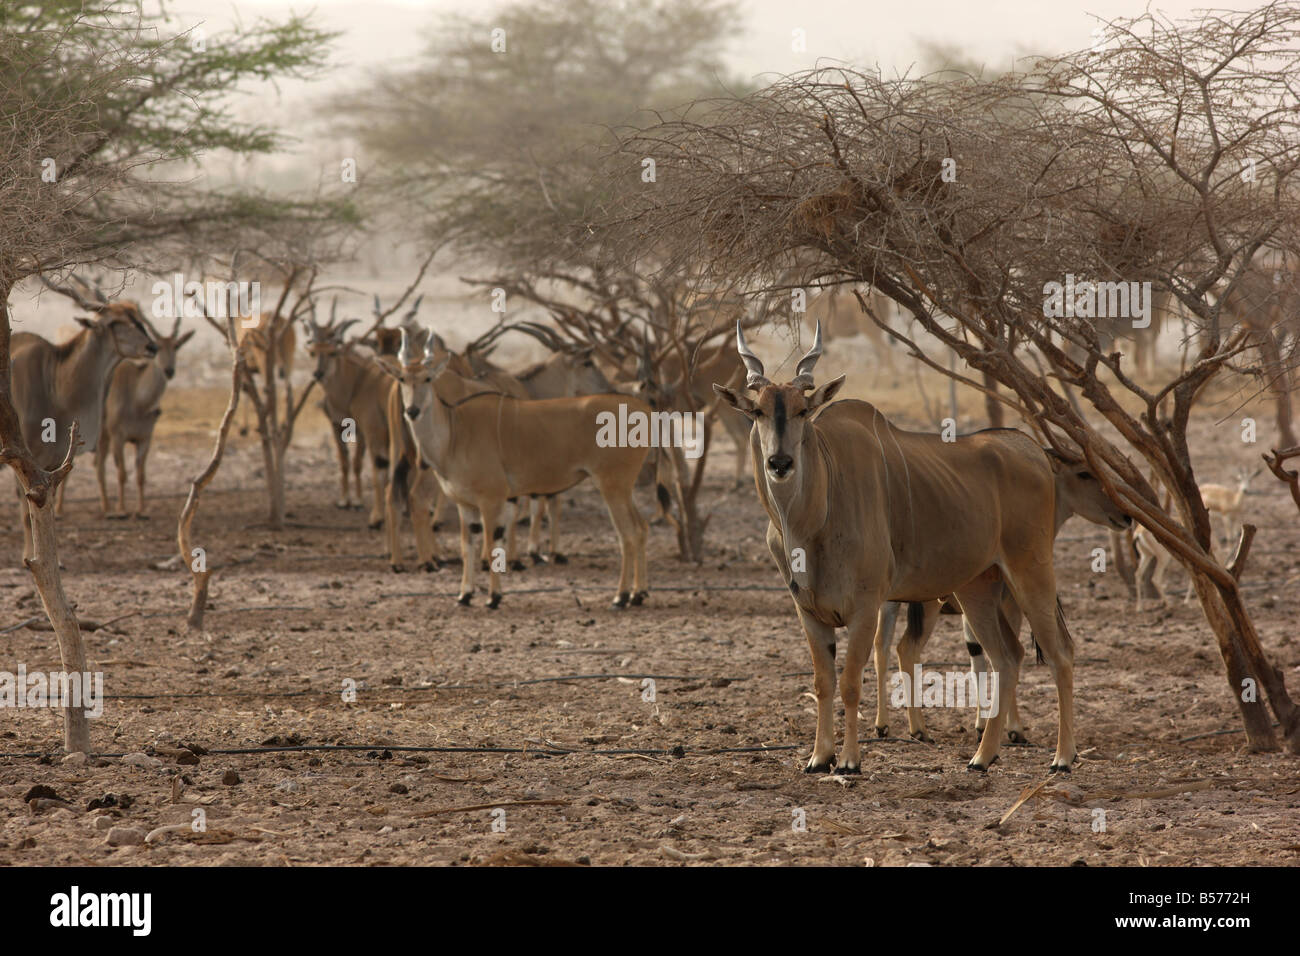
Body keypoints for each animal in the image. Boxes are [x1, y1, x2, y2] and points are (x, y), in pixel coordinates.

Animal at [12, 276, 157, 557]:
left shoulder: (49, 468)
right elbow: (26, 515)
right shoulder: (24, 463)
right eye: (115, 322)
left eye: (137, 317)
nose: (152, 346)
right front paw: (28, 557)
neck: (55, 381)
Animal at [382, 331, 650, 608]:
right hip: (622, 488)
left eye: (427, 378)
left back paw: (621, 596)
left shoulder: (491, 499)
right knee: (641, 528)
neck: (455, 431)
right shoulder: (465, 505)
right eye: (402, 379)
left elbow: (492, 545)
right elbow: (468, 546)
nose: (412, 411)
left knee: (628, 533)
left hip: (612, 486)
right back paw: (638, 594)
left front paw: (494, 597)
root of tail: (643, 410)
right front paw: (465, 594)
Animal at [716, 321, 1078, 774]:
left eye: (802, 410)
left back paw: (1062, 757)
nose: (779, 463)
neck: (814, 515)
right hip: (977, 586)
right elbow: (823, 682)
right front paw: (819, 757)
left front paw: (849, 761)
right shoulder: (809, 613)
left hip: (1030, 571)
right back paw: (982, 757)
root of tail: (1031, 449)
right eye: (758, 411)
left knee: (1060, 651)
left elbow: (850, 683)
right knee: (1007, 656)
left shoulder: (865, 607)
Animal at [872, 451, 1132, 743]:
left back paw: (883, 724)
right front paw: (1012, 728)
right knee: (906, 648)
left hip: (889, 604)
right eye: (1084, 473)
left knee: (881, 647)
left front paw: (982, 725)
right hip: (928, 607)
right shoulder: (1008, 606)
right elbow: (1005, 655)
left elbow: (979, 659)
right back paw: (919, 728)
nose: (1125, 515)